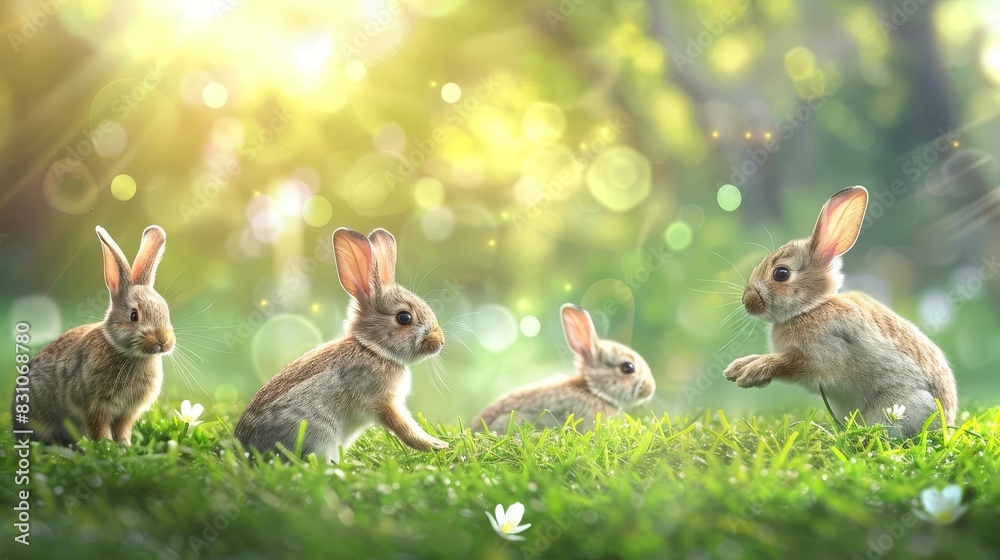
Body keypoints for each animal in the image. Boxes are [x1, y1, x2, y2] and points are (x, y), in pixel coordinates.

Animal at [12, 225, 174, 445]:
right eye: (134, 315)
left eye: (166, 311)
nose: (164, 342)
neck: (126, 352)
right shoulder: (94, 406)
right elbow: (100, 429)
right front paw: (107, 447)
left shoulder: (127, 412)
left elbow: (123, 430)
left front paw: (124, 446)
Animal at [234, 227, 449, 463]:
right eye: (404, 318)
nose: (439, 341)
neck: (372, 349)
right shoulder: (381, 400)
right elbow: (403, 427)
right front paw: (437, 445)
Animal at [722, 186, 957, 437]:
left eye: (781, 273)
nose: (747, 301)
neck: (811, 308)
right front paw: (737, 368)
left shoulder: (820, 354)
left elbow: (787, 363)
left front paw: (753, 372)